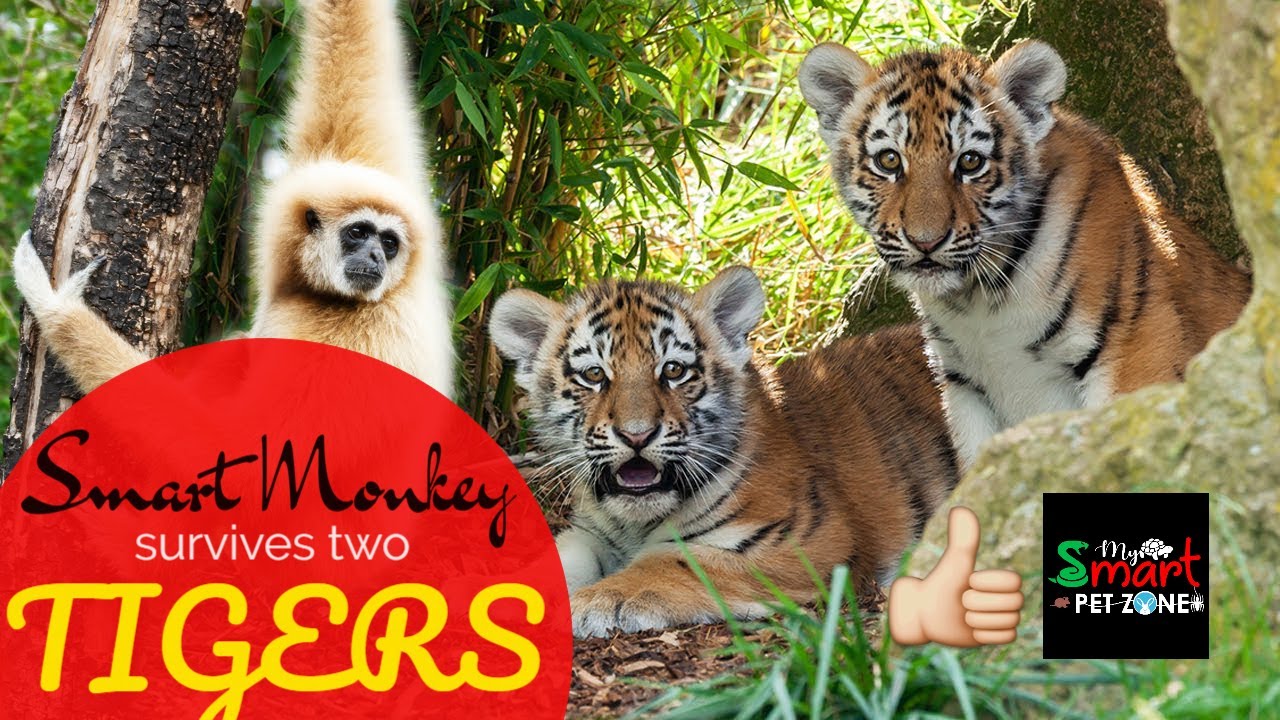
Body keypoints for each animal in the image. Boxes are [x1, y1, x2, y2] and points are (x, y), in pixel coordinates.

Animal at [13, 0, 454, 398]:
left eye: (390, 243)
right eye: (360, 233)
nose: (378, 256)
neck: (332, 300)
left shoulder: (355, 338)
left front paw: (58, 309)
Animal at [488, 266, 958, 637]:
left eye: (674, 371)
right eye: (594, 375)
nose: (637, 435)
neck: (634, 523)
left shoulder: (807, 538)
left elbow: (673, 559)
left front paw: (596, 601)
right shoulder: (592, 532)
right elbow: (557, 556)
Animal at [797, 40, 1251, 469]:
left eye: (970, 162)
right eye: (889, 160)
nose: (926, 242)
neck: (980, 303)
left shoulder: (1136, 349)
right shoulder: (966, 389)